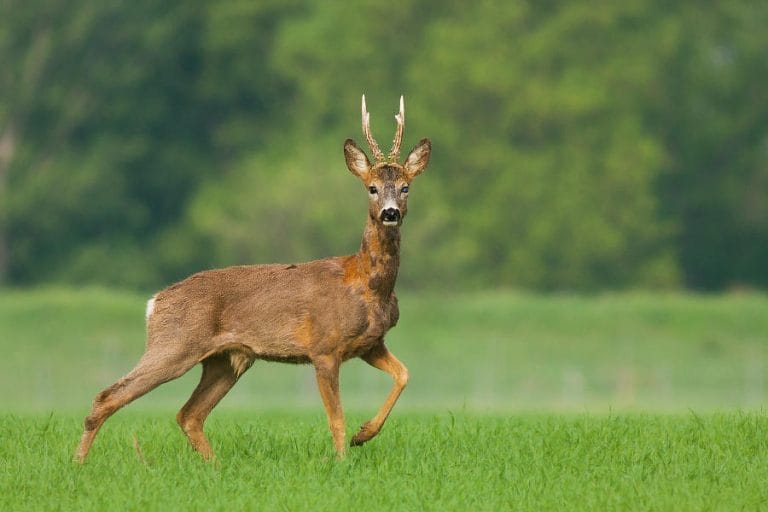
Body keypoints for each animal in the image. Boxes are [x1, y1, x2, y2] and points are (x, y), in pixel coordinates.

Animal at [75, 95, 431, 463]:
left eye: (405, 187)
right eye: (372, 188)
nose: (390, 213)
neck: (368, 285)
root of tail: (154, 302)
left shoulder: (371, 344)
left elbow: (404, 374)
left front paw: (364, 434)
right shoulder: (324, 347)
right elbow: (336, 418)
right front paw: (342, 459)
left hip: (227, 360)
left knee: (188, 414)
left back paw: (214, 466)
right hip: (174, 343)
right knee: (108, 397)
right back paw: (78, 464)